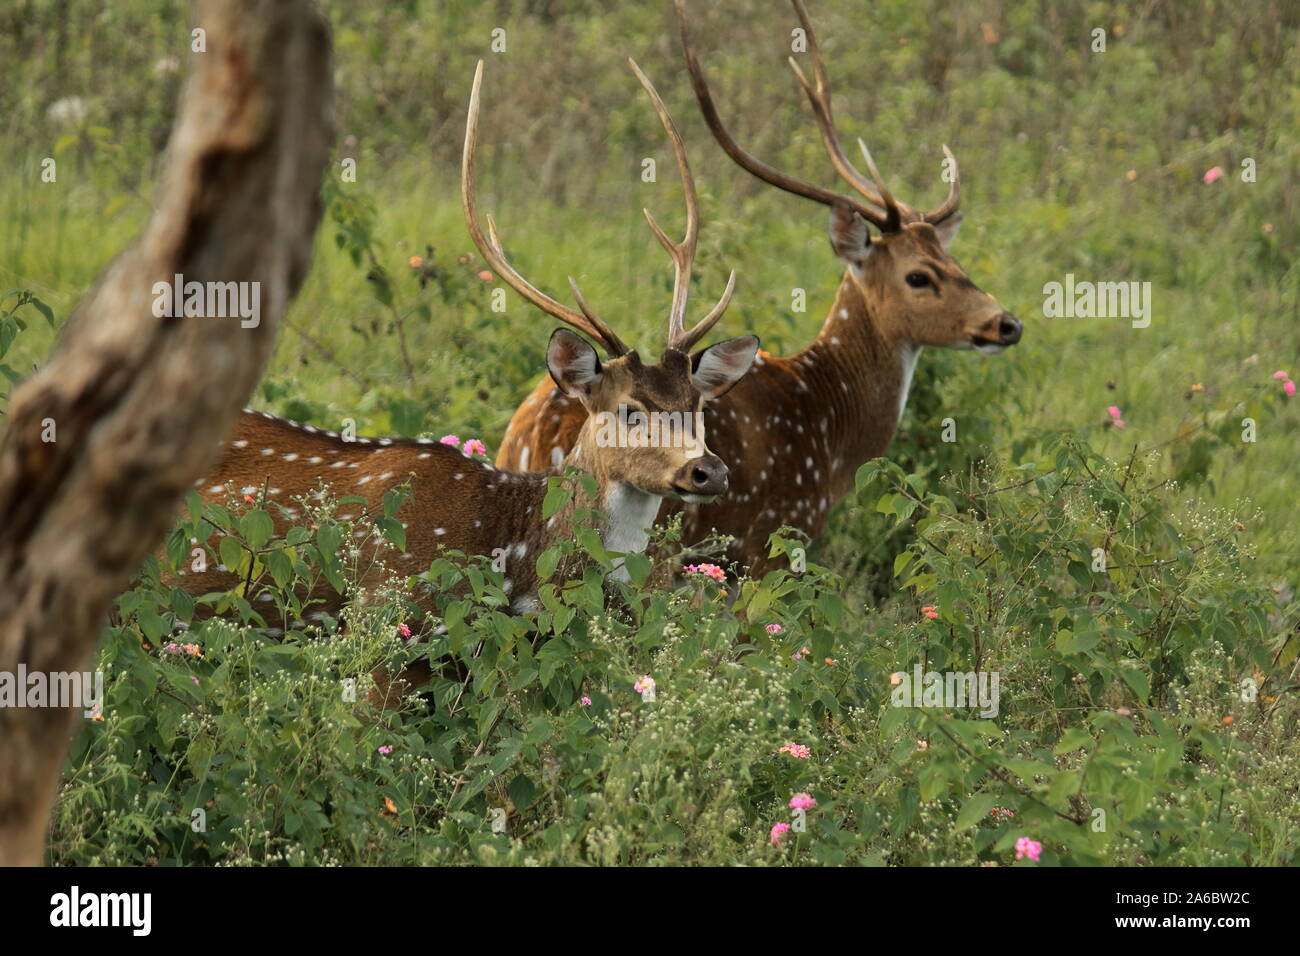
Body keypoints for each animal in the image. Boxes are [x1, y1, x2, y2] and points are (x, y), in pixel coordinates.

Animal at [495, 0, 1022, 579]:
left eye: (954, 259)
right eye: (918, 275)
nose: (1007, 324)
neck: (832, 433)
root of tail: (531, 439)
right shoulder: (775, 534)